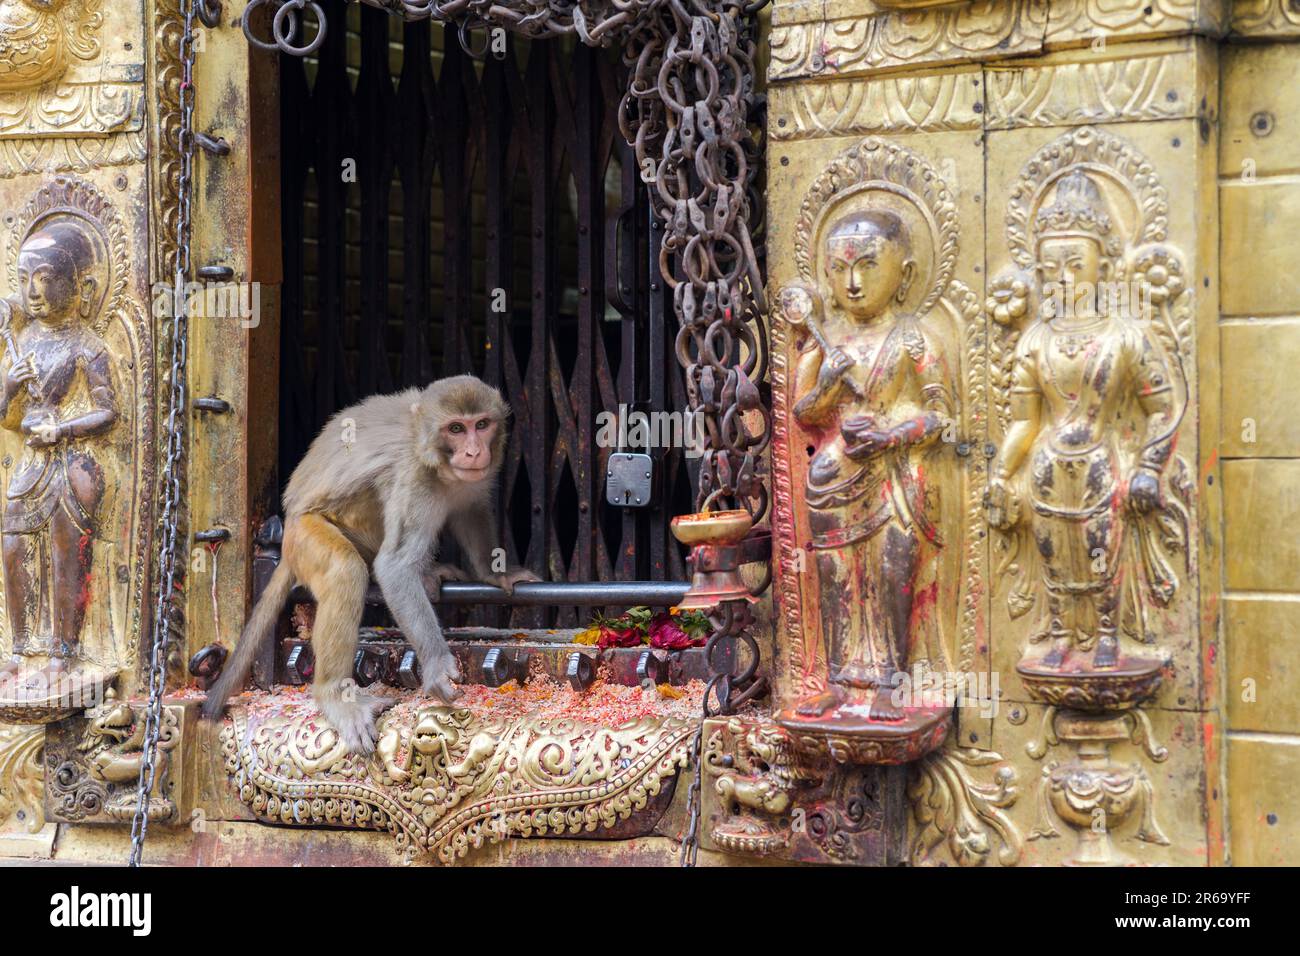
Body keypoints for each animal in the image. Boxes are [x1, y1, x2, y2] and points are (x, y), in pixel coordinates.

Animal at [201, 375, 539, 753]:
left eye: (481, 425)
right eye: (455, 428)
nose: (473, 451)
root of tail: (287, 527)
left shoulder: (473, 481)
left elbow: (471, 509)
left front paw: (497, 572)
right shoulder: (415, 481)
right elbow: (394, 566)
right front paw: (437, 665)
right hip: (304, 535)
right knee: (345, 569)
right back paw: (335, 695)